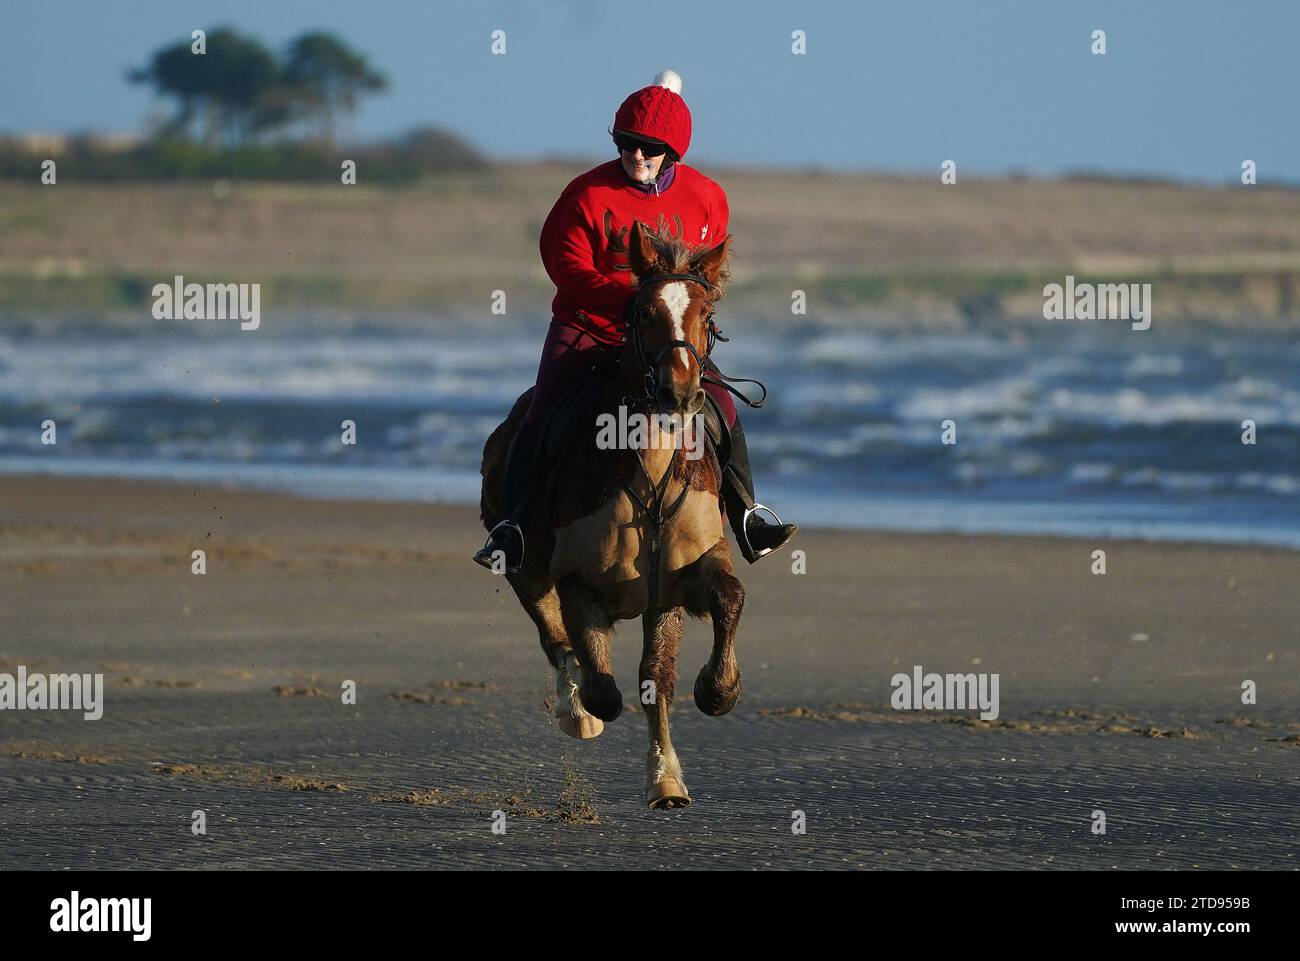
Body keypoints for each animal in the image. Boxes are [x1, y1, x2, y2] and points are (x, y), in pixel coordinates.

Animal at [480, 218, 743, 809]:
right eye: (642, 312)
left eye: (706, 315)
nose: (679, 391)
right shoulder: (579, 583)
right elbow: (601, 682)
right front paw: (587, 711)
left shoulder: (679, 582)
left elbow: (667, 667)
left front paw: (706, 709)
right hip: (525, 567)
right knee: (554, 638)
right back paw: (574, 712)